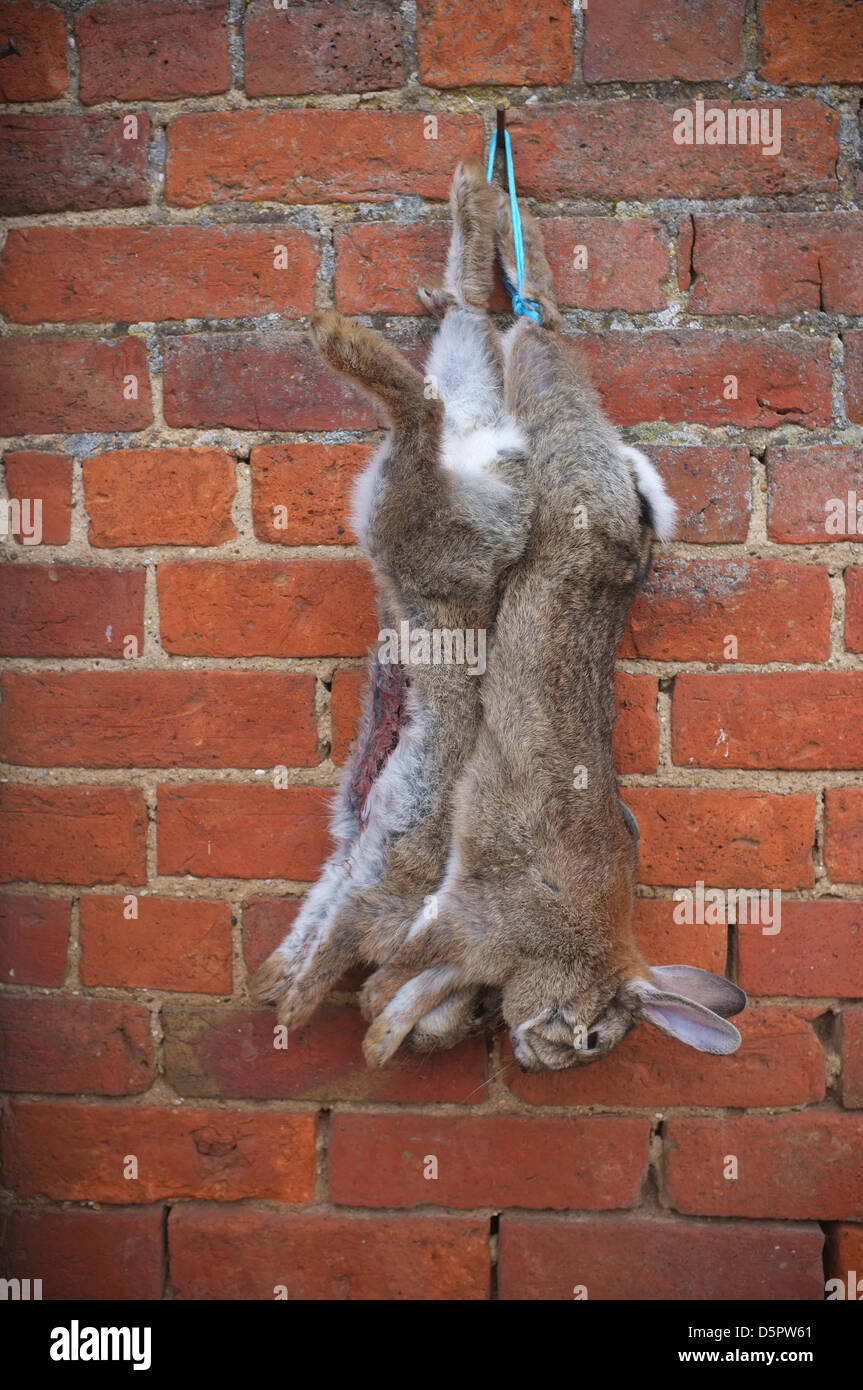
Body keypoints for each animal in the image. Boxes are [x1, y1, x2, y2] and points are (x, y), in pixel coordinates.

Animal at [251, 158, 531, 1043]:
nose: (453, 1032)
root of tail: (489, 457)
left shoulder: (347, 875)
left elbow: (314, 935)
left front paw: (275, 988)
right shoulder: (372, 890)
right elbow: (333, 946)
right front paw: (299, 1002)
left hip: (417, 479)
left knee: (461, 336)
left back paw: (463, 225)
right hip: (416, 510)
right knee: (422, 408)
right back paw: (344, 336)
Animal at [360, 194, 746, 1071]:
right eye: (594, 1033)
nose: (546, 1057)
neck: (580, 951)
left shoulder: (472, 948)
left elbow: (425, 991)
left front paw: (402, 1029)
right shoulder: (478, 921)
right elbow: (411, 964)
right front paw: (376, 1026)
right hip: (553, 439)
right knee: (536, 341)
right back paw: (508, 267)